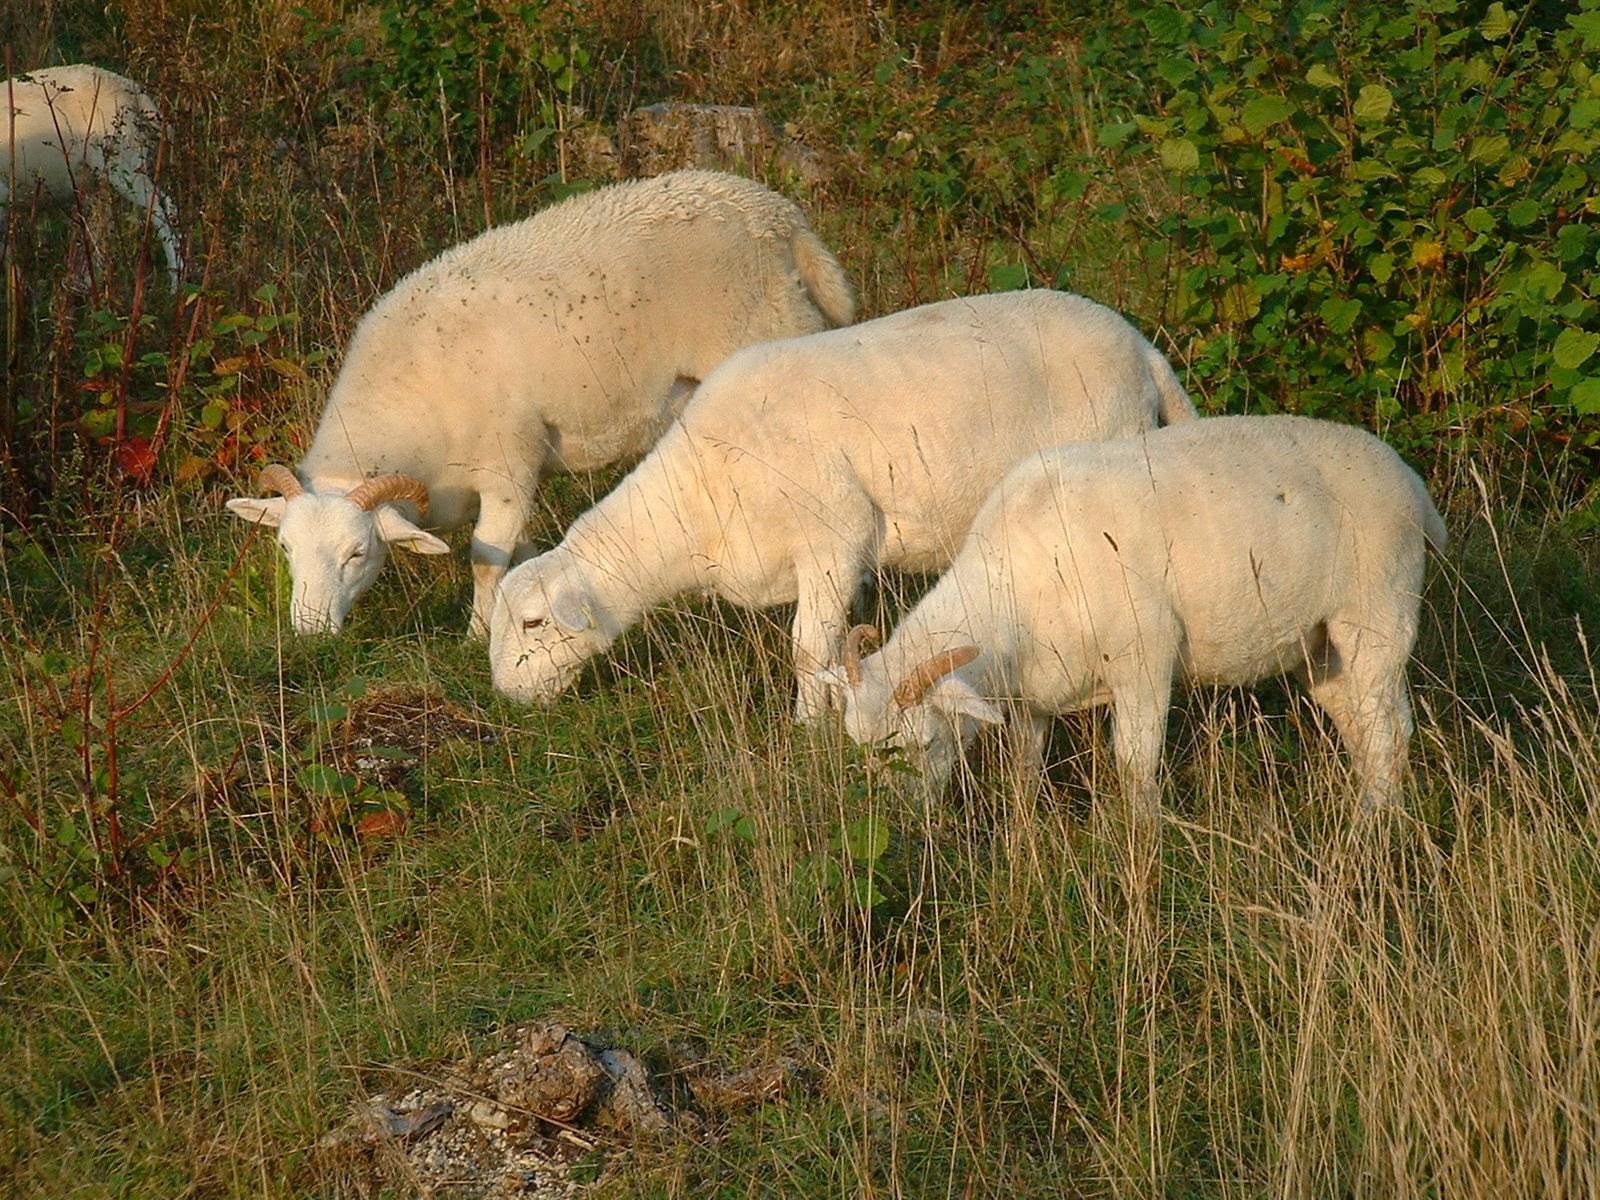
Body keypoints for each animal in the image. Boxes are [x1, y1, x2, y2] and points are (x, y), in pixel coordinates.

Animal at [2, 64, 183, 288]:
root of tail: (137, 94)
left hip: (122, 161)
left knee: (162, 207)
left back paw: (176, 282)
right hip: (103, 175)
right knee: (105, 222)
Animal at [225, 168, 856, 636]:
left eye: (357, 553)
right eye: (285, 547)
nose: (309, 631)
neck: (407, 397)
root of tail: (780, 216)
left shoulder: (509, 467)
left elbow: (485, 559)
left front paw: (477, 635)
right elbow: (518, 551)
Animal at [487, 288, 1196, 718]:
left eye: (532, 623)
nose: (504, 694)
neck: (694, 499)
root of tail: (1140, 348)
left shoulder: (834, 536)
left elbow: (808, 648)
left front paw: (808, 727)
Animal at [818, 414, 1448, 818]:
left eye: (918, 744)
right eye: (856, 747)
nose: (893, 824)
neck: (1014, 581)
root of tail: (1411, 482)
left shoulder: (1144, 657)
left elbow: (1134, 766)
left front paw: (1144, 845)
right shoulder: (1032, 695)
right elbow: (1025, 767)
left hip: (1377, 615)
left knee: (1388, 731)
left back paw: (1375, 832)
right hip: (1322, 650)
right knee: (1364, 727)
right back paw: (1372, 814)